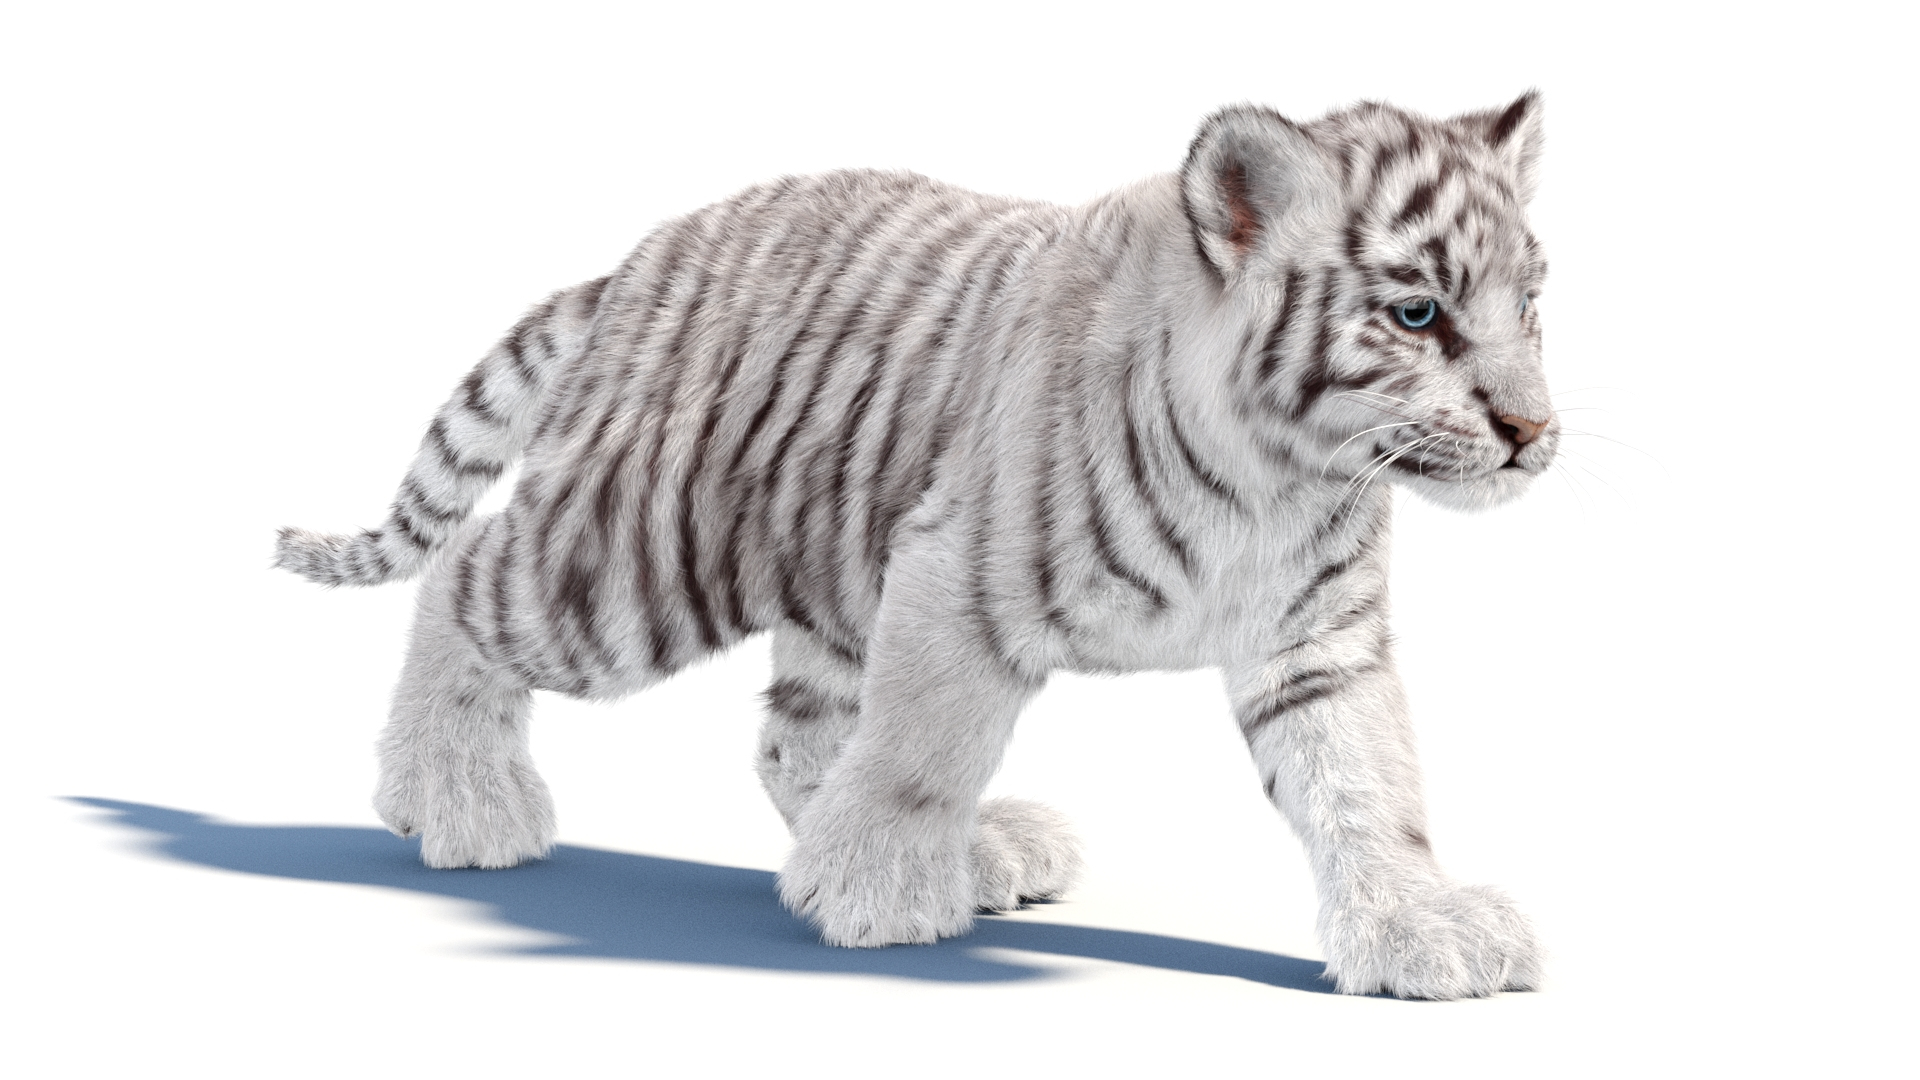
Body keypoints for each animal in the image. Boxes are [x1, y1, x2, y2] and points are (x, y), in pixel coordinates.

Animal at [276, 93, 1555, 1000]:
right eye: (1419, 315)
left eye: (1531, 303)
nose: (1533, 432)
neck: (1282, 475)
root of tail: (638, 263)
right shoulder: (958, 578)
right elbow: (925, 746)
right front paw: (879, 891)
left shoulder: (1318, 640)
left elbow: (1368, 783)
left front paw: (1418, 927)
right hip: (635, 565)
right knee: (463, 575)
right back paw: (455, 802)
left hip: (829, 569)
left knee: (794, 737)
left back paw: (974, 850)